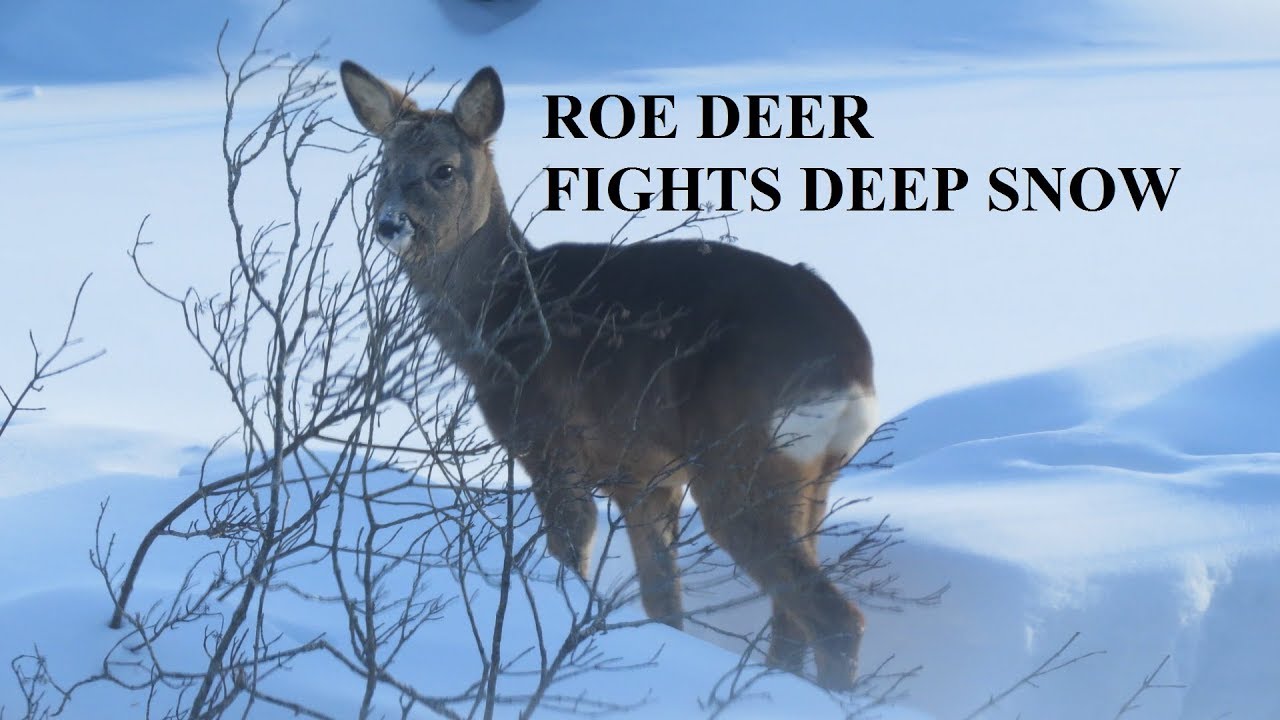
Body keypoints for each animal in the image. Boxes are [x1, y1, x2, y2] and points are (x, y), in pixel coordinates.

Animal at [340, 61, 879, 691]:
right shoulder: (643, 478)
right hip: (812, 476)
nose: (389, 224)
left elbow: (571, 553)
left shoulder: (549, 444)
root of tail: (849, 365)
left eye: (442, 169)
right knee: (792, 619)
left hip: (741, 461)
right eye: (383, 166)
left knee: (835, 619)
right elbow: (663, 605)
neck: (503, 314)